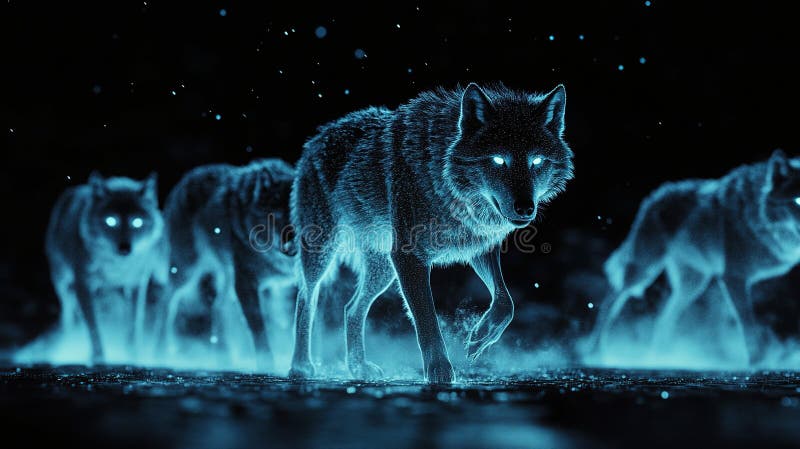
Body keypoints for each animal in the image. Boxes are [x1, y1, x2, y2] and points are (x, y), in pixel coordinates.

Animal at [46, 172, 165, 363]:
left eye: (137, 222)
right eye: (111, 221)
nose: (125, 248)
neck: (116, 267)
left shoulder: (137, 285)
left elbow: (134, 323)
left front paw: (133, 354)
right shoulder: (83, 286)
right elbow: (93, 326)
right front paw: (98, 356)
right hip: (62, 284)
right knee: (68, 314)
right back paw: (67, 341)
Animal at [162, 158, 296, 370]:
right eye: (276, 215)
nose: (291, 238)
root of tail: (187, 176)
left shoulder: (288, 286)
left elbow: (289, 323)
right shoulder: (246, 282)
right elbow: (258, 326)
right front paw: (267, 364)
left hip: (227, 278)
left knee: (217, 305)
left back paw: (224, 359)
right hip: (187, 270)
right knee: (166, 300)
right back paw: (155, 350)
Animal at [290, 82, 574, 382]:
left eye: (537, 161)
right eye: (498, 160)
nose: (525, 208)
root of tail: (315, 139)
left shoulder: (478, 245)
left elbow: (506, 303)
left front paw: (479, 337)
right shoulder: (409, 258)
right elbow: (427, 318)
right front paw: (440, 370)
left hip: (383, 269)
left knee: (351, 308)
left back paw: (358, 367)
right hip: (323, 252)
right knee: (306, 297)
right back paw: (300, 366)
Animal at [591, 150, 800, 364]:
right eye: (798, 201)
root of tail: (655, 195)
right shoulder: (733, 277)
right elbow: (748, 326)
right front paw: (756, 363)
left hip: (692, 285)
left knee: (663, 319)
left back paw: (661, 358)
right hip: (644, 270)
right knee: (611, 299)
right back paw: (596, 352)